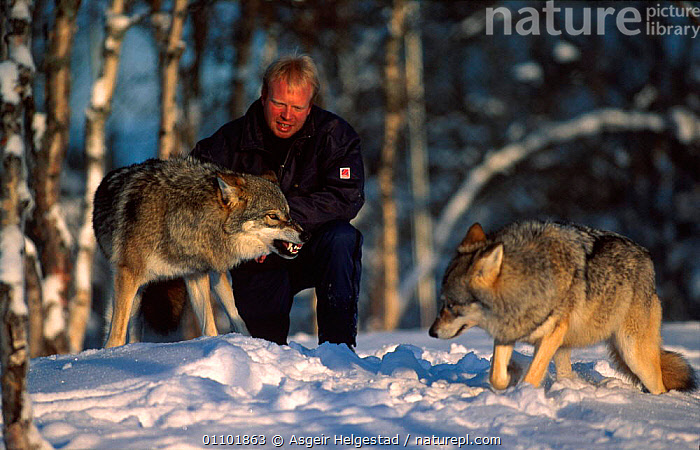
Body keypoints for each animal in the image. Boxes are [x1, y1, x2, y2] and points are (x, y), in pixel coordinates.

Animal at [93, 157, 307, 348]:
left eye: (288, 214)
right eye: (273, 216)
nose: (306, 235)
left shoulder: (195, 274)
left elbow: (210, 328)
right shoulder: (127, 275)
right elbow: (116, 335)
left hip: (216, 279)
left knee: (237, 317)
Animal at [429, 220, 696, 394]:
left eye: (451, 304)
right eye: (442, 302)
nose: (431, 332)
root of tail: (647, 255)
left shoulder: (552, 333)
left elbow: (533, 375)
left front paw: (523, 393)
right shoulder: (507, 333)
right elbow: (496, 376)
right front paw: (512, 372)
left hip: (634, 354)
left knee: (659, 386)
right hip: (567, 350)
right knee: (566, 374)